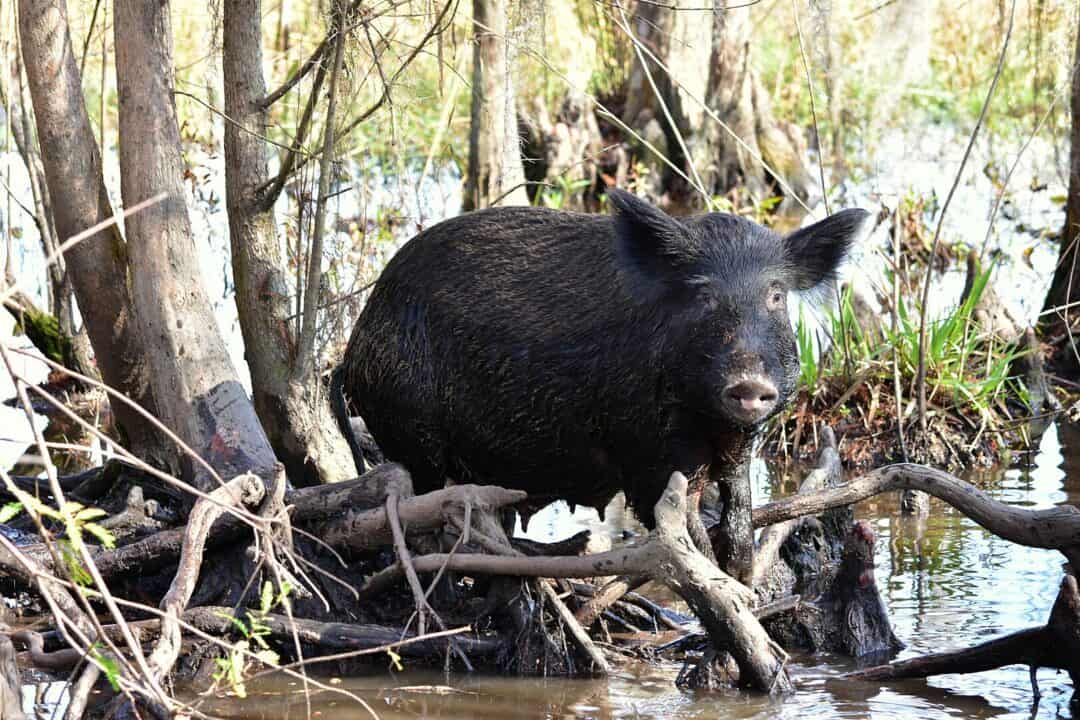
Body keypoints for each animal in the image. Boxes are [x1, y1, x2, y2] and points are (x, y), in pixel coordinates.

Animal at [332, 189, 867, 581]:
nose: (748, 381)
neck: (706, 423)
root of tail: (354, 347)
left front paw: (747, 583)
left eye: (776, 295)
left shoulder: (737, 449)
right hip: (409, 423)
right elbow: (687, 535)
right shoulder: (646, 452)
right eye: (704, 295)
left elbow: (737, 518)